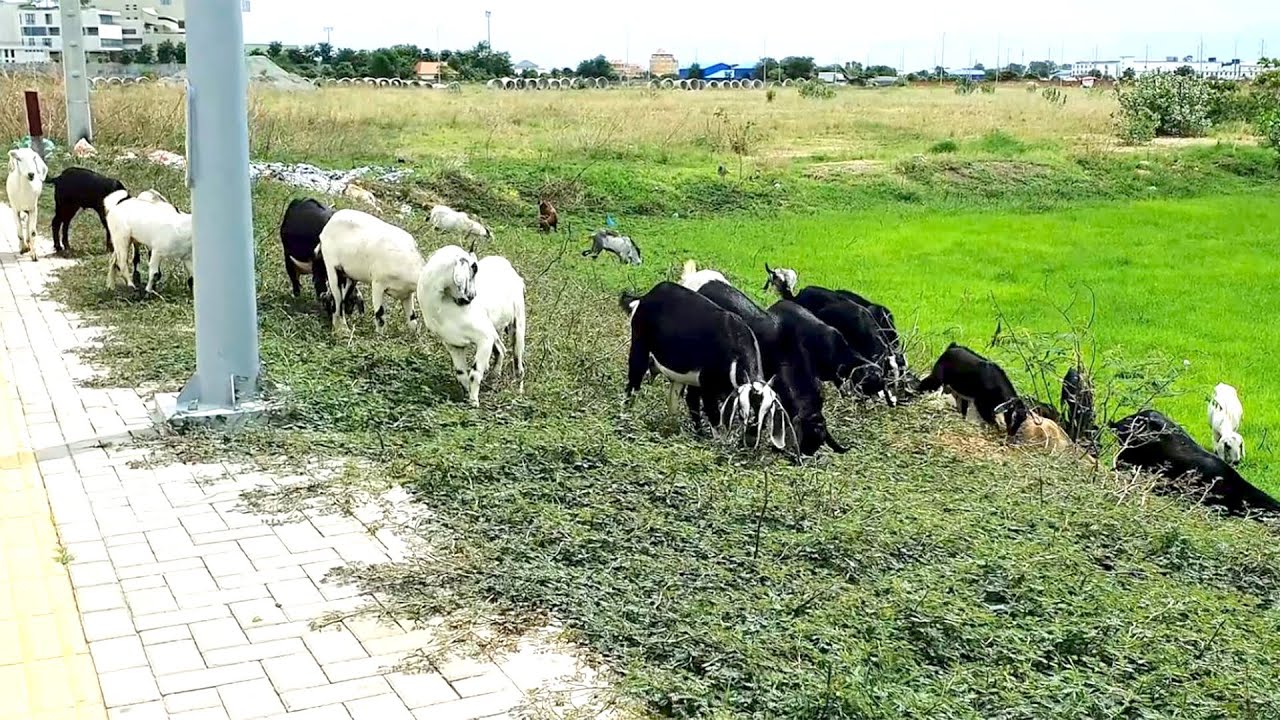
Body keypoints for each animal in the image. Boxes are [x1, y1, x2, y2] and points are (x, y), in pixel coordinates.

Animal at [416, 244, 527, 406]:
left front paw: (474, 402)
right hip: (493, 329)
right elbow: (461, 374)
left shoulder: (484, 338)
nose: (472, 296)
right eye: (474, 268)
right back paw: (494, 378)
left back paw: (518, 392)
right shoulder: (452, 344)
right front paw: (466, 397)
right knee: (501, 349)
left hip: (517, 323)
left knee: (518, 363)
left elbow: (475, 373)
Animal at [621, 281, 785, 448]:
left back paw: (671, 426)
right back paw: (627, 414)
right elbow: (714, 416)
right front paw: (718, 444)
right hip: (639, 345)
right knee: (634, 379)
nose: (751, 441)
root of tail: (647, 296)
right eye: (742, 411)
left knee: (674, 396)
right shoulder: (707, 385)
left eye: (767, 414)